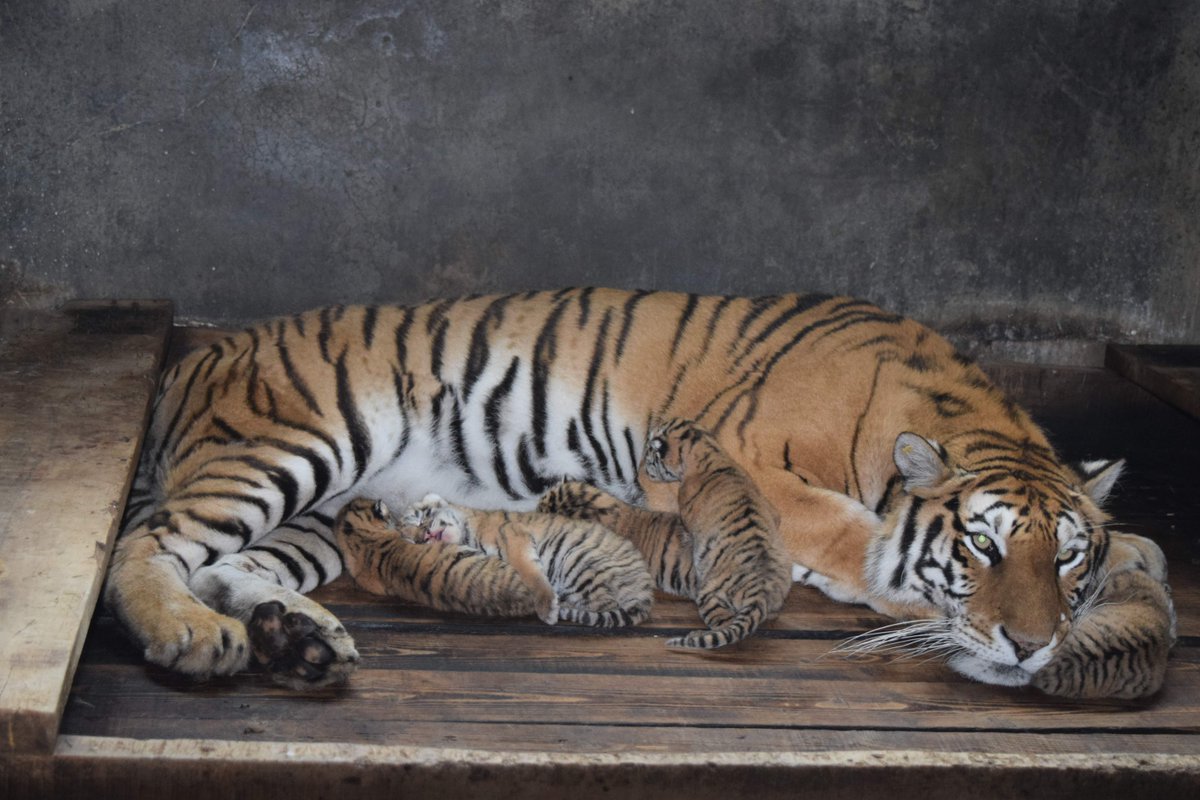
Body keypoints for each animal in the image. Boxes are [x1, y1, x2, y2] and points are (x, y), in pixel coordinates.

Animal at [396, 494, 654, 627]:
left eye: (421, 518)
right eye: (414, 540)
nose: (424, 537)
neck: (468, 531)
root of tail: (645, 591)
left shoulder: (515, 540)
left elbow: (532, 574)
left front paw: (547, 608)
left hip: (574, 557)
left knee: (604, 604)